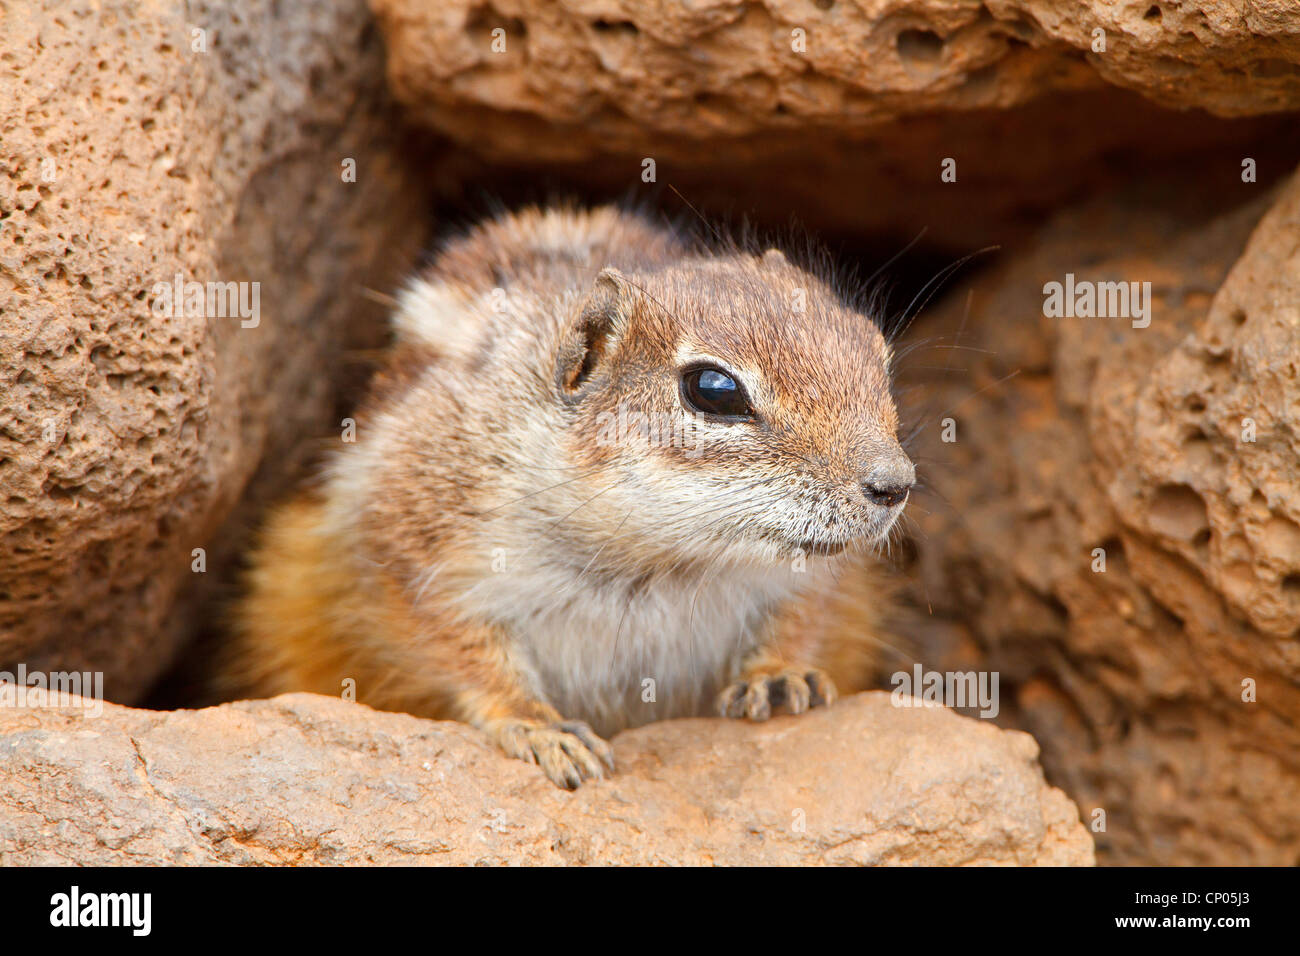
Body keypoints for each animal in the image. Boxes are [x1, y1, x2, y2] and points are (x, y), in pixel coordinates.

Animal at [223, 204, 915, 788]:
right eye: (713, 390)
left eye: (875, 353)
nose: (896, 484)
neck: (656, 561)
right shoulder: (412, 541)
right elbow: (461, 648)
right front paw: (540, 727)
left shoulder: (814, 580)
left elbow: (801, 616)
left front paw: (776, 677)